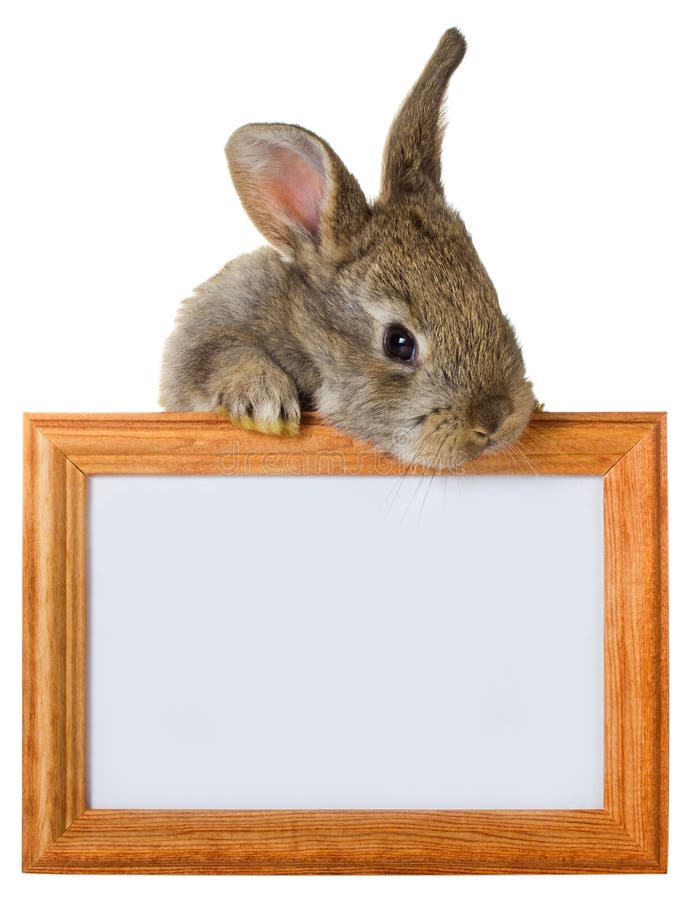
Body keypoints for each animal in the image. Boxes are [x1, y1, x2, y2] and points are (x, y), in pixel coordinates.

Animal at [159, 27, 536, 469]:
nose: (493, 420)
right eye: (399, 343)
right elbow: (220, 352)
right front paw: (266, 403)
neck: (302, 331)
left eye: (493, 300)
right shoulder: (204, 334)